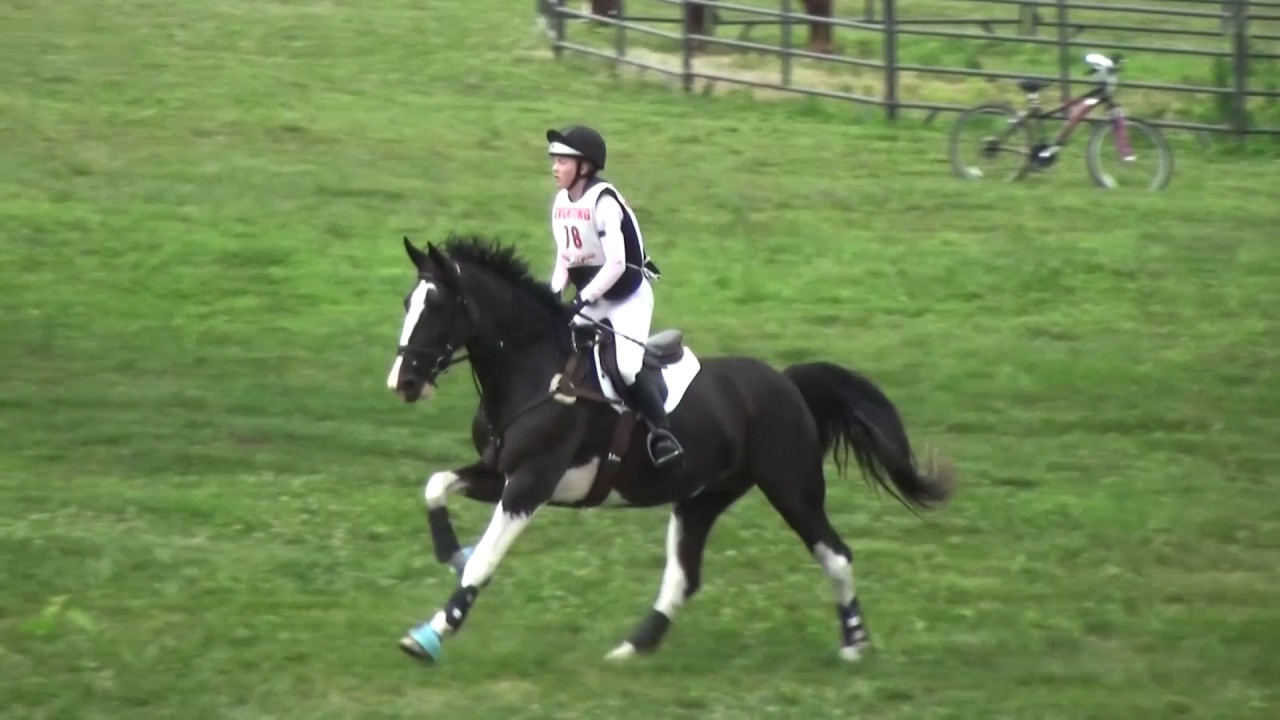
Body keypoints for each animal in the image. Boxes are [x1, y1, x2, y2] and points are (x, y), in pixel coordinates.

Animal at [385, 234, 955, 665]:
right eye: (407, 303)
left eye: (438, 306)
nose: (404, 382)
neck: (533, 373)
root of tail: (788, 384)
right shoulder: (500, 472)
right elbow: (435, 486)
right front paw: (449, 550)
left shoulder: (530, 483)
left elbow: (483, 562)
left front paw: (432, 633)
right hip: (702, 497)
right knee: (684, 576)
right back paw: (632, 649)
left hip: (792, 487)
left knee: (834, 555)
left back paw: (854, 641)